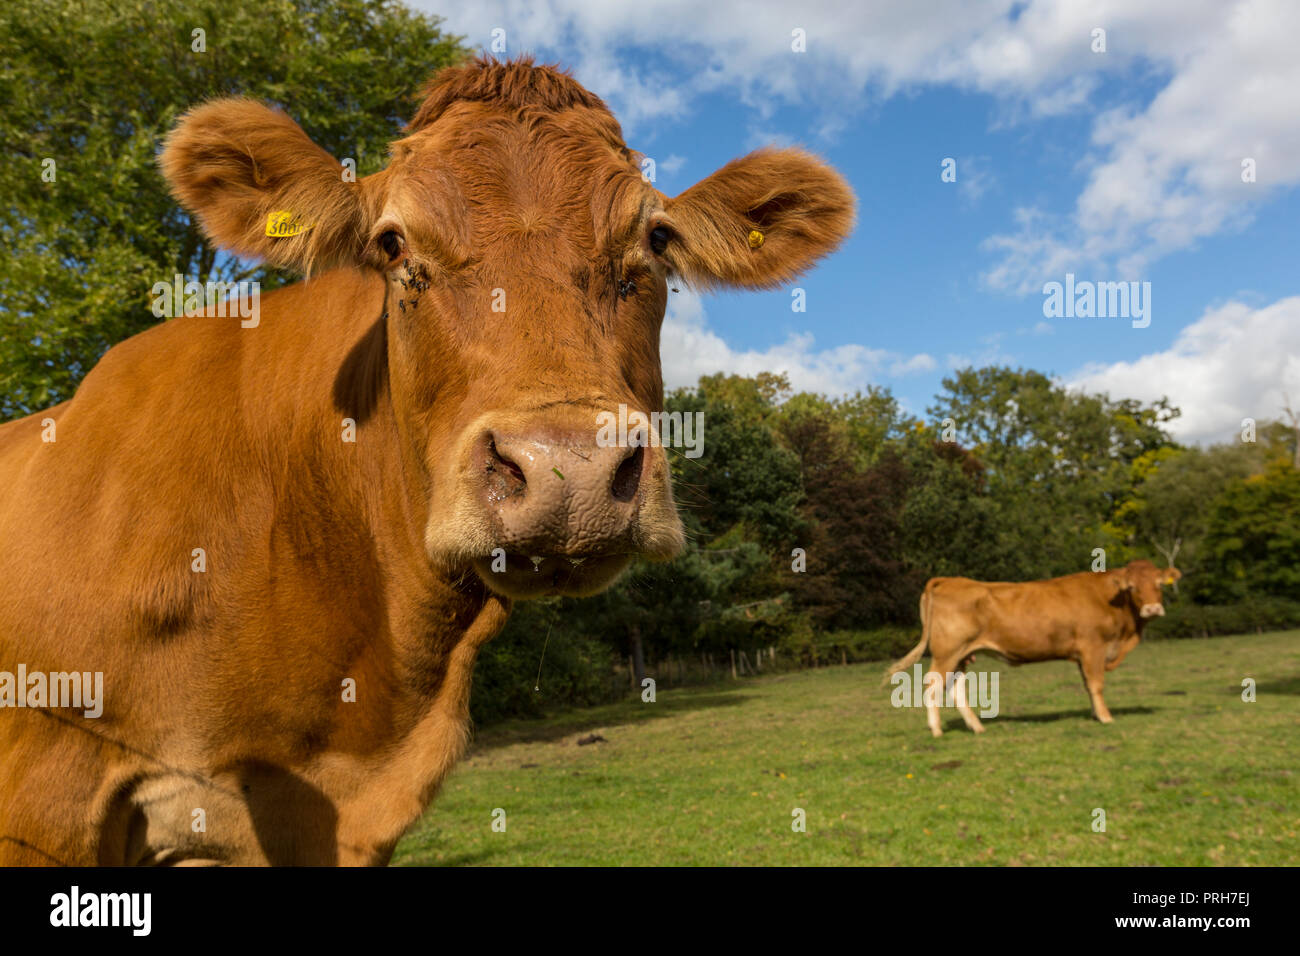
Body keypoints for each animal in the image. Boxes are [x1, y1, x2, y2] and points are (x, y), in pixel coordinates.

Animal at [884, 560, 1182, 737]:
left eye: (1159, 584)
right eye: (1132, 587)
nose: (1152, 609)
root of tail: (950, 580)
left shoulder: (1083, 655)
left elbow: (1088, 685)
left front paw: (1096, 714)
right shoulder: (1093, 647)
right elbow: (1096, 684)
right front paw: (1106, 718)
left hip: (962, 655)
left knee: (955, 689)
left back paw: (977, 727)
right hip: (947, 652)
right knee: (932, 684)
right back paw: (936, 729)